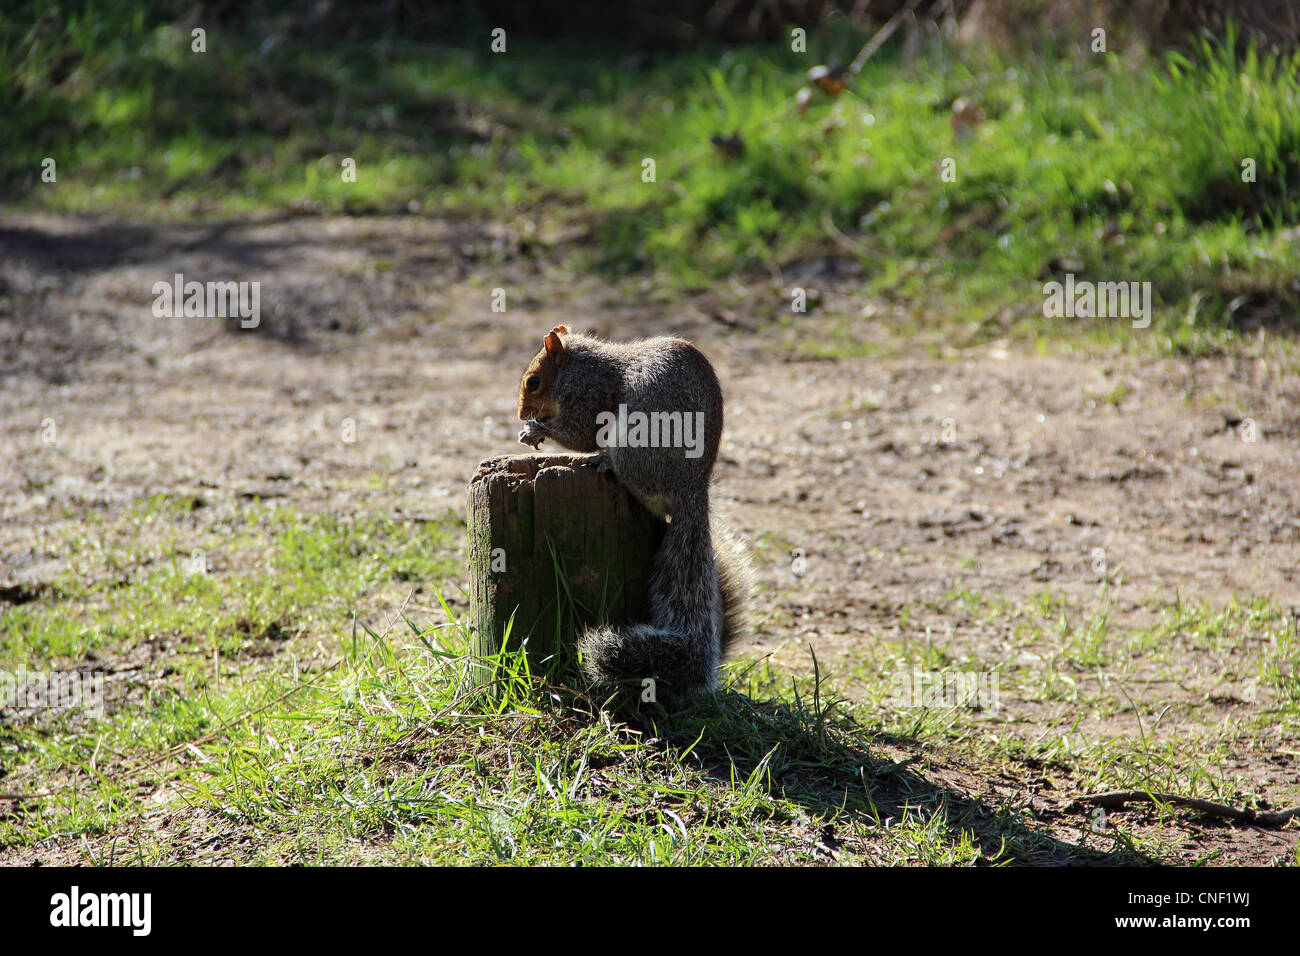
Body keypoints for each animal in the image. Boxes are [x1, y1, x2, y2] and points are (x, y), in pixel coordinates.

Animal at [516, 325, 751, 700]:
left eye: (533, 382)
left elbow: (582, 434)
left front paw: (537, 430)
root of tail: (692, 490)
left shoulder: (589, 394)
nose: (522, 414)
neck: (581, 364)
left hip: (635, 447)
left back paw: (604, 461)